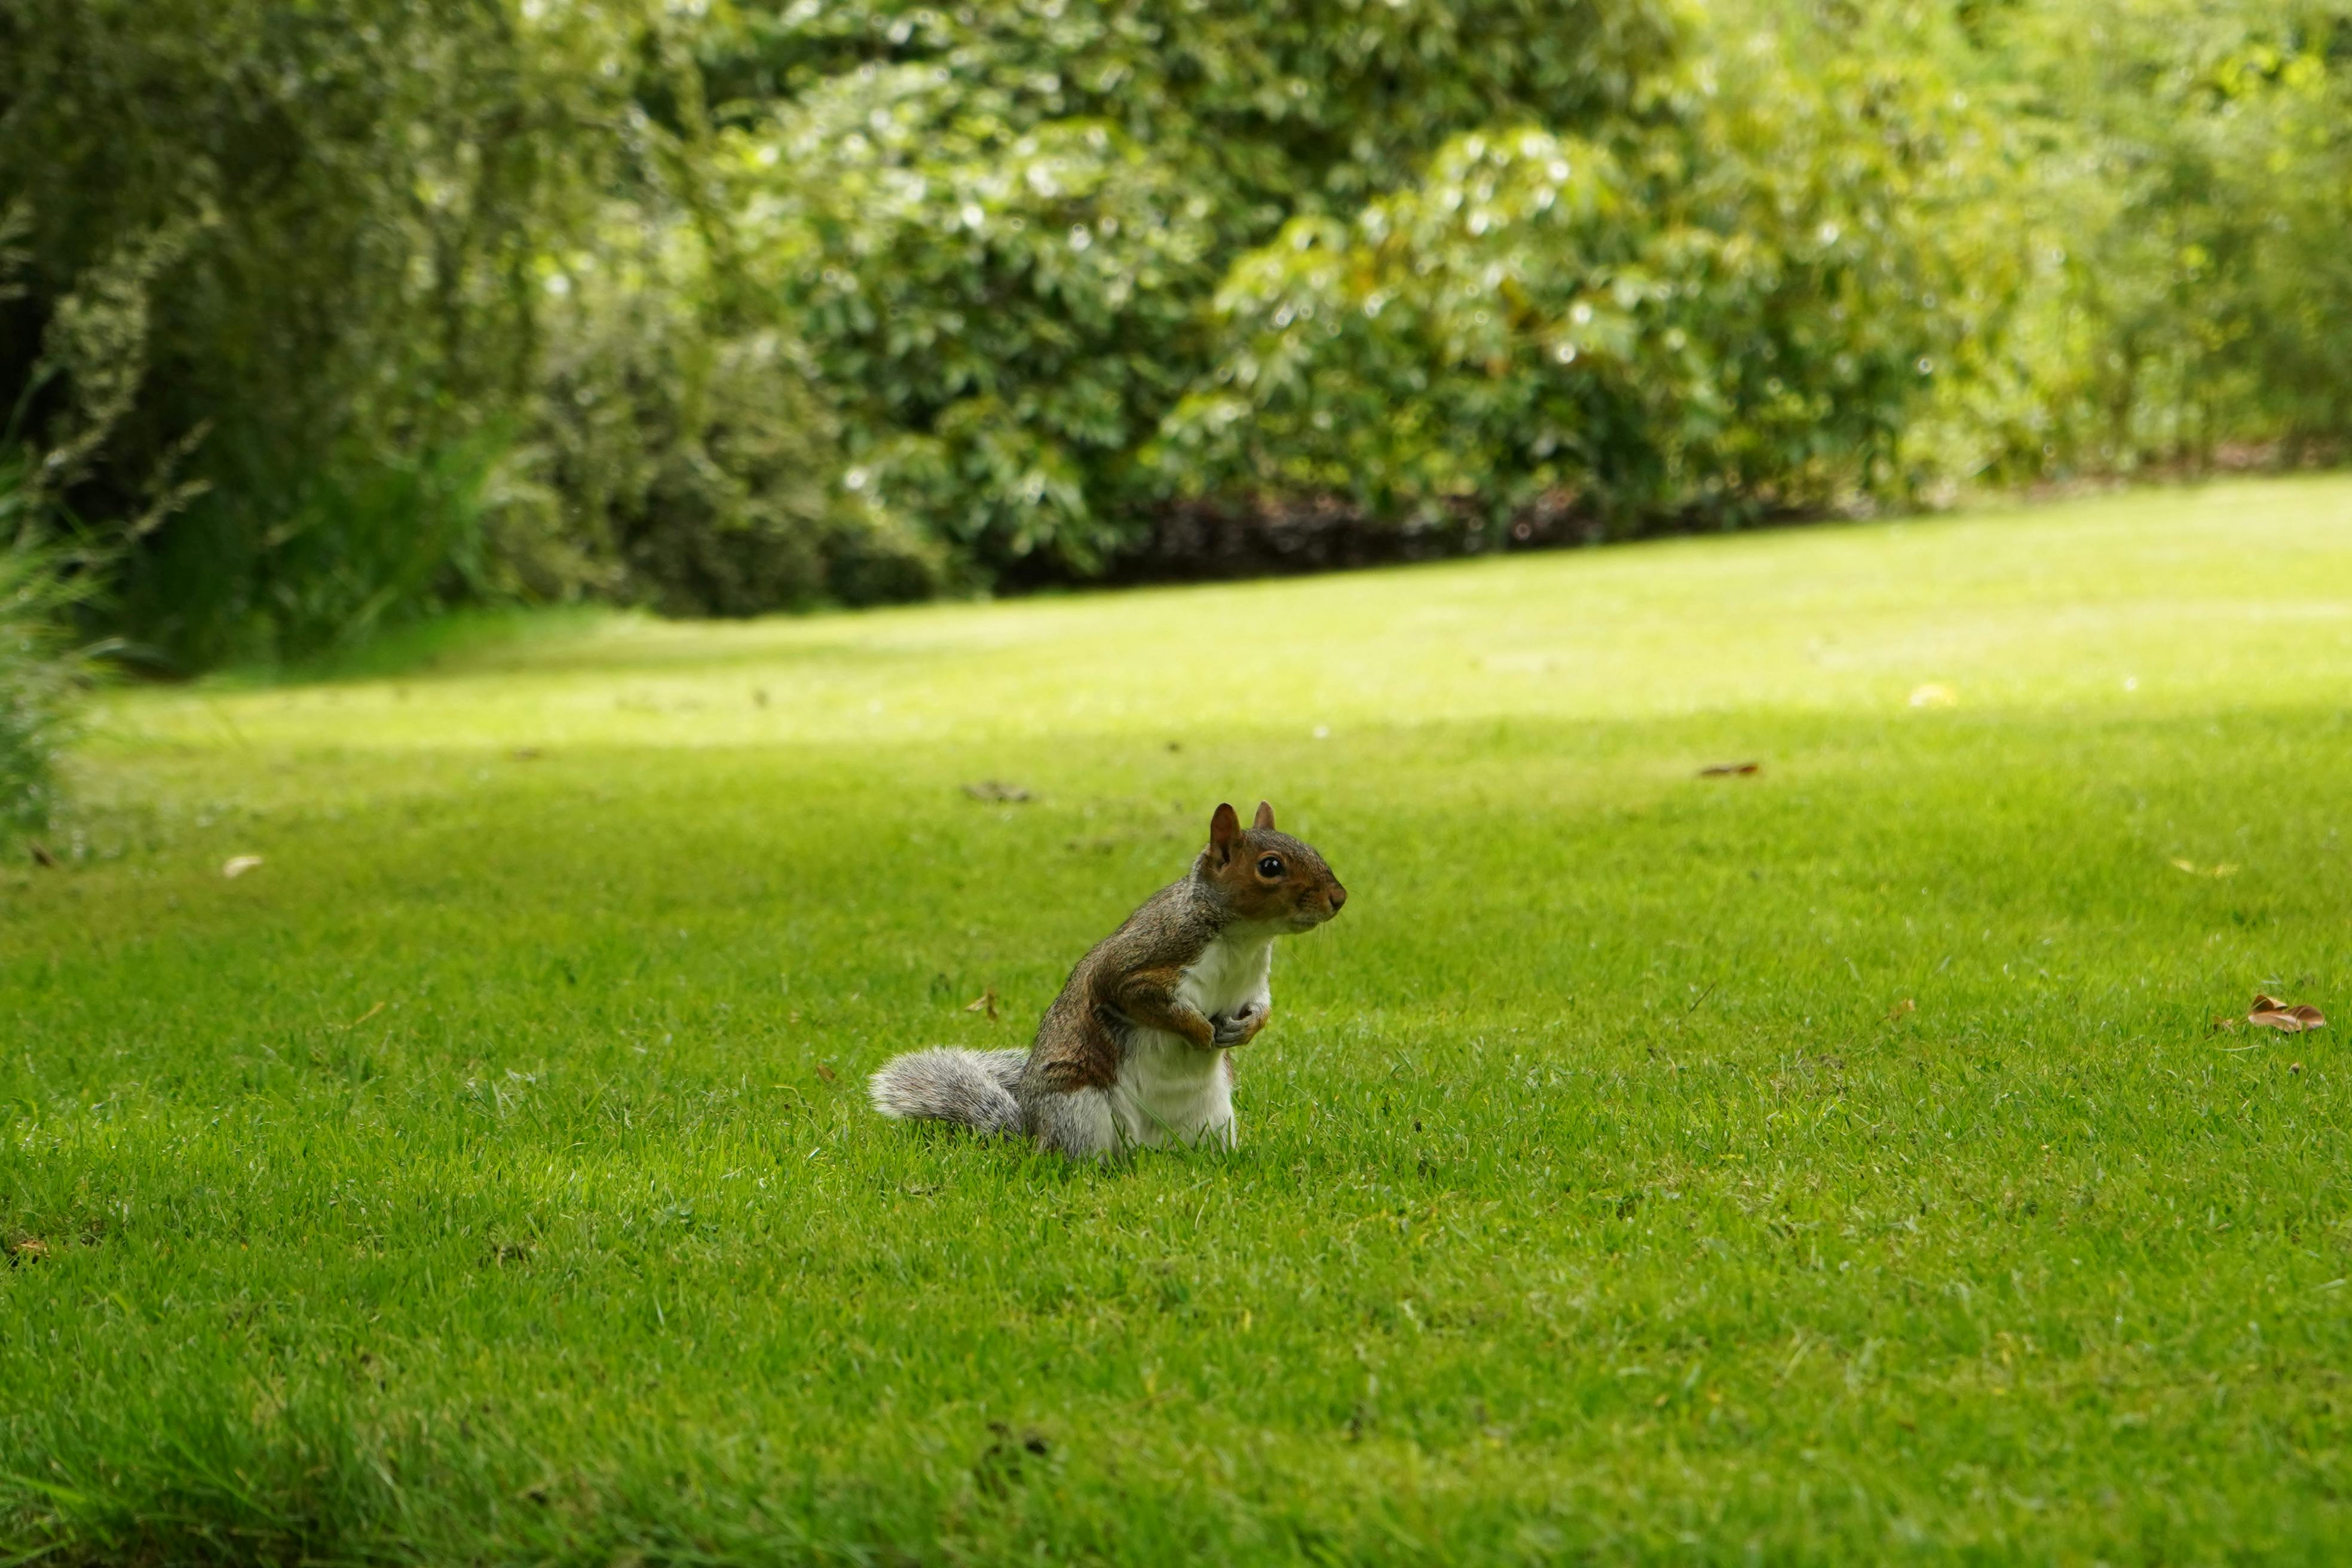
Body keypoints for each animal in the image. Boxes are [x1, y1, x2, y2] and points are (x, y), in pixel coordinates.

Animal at [868, 800, 1347, 1160]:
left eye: (1311, 847)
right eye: (1271, 866)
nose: (1339, 898)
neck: (1243, 940)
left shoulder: (1251, 985)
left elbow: (1262, 1006)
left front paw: (1245, 1030)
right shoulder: (1141, 961)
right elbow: (1140, 998)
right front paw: (1199, 1031)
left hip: (1214, 1122)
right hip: (1081, 1111)